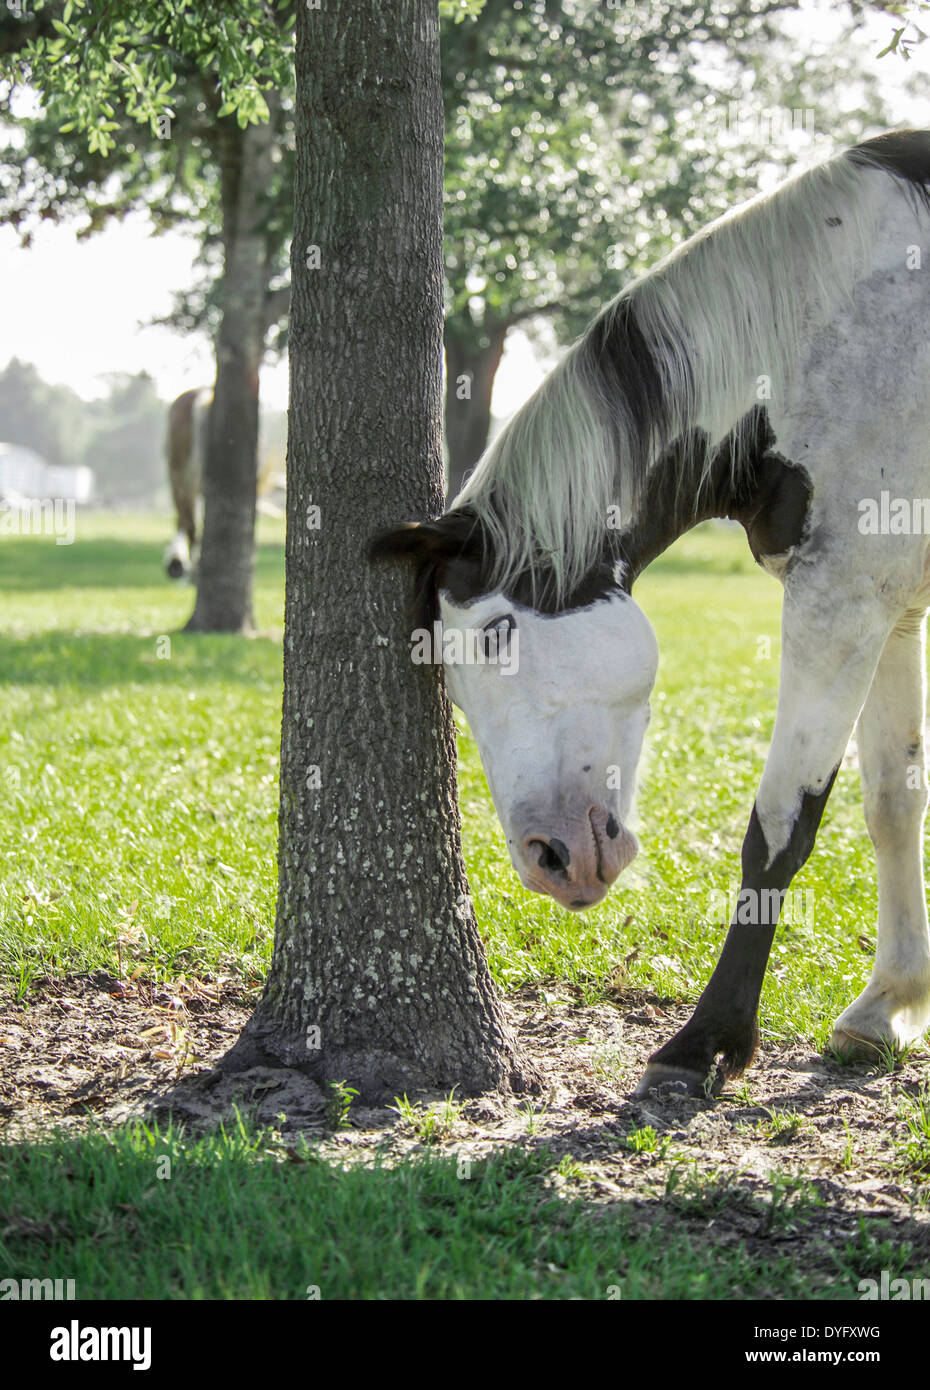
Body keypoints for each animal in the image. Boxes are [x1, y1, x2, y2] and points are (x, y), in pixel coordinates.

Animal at [372, 129, 930, 1100]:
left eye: (499, 632)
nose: (549, 857)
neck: (827, 333)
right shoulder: (891, 611)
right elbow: (894, 802)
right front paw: (887, 1005)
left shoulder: (842, 602)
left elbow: (780, 826)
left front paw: (711, 1039)